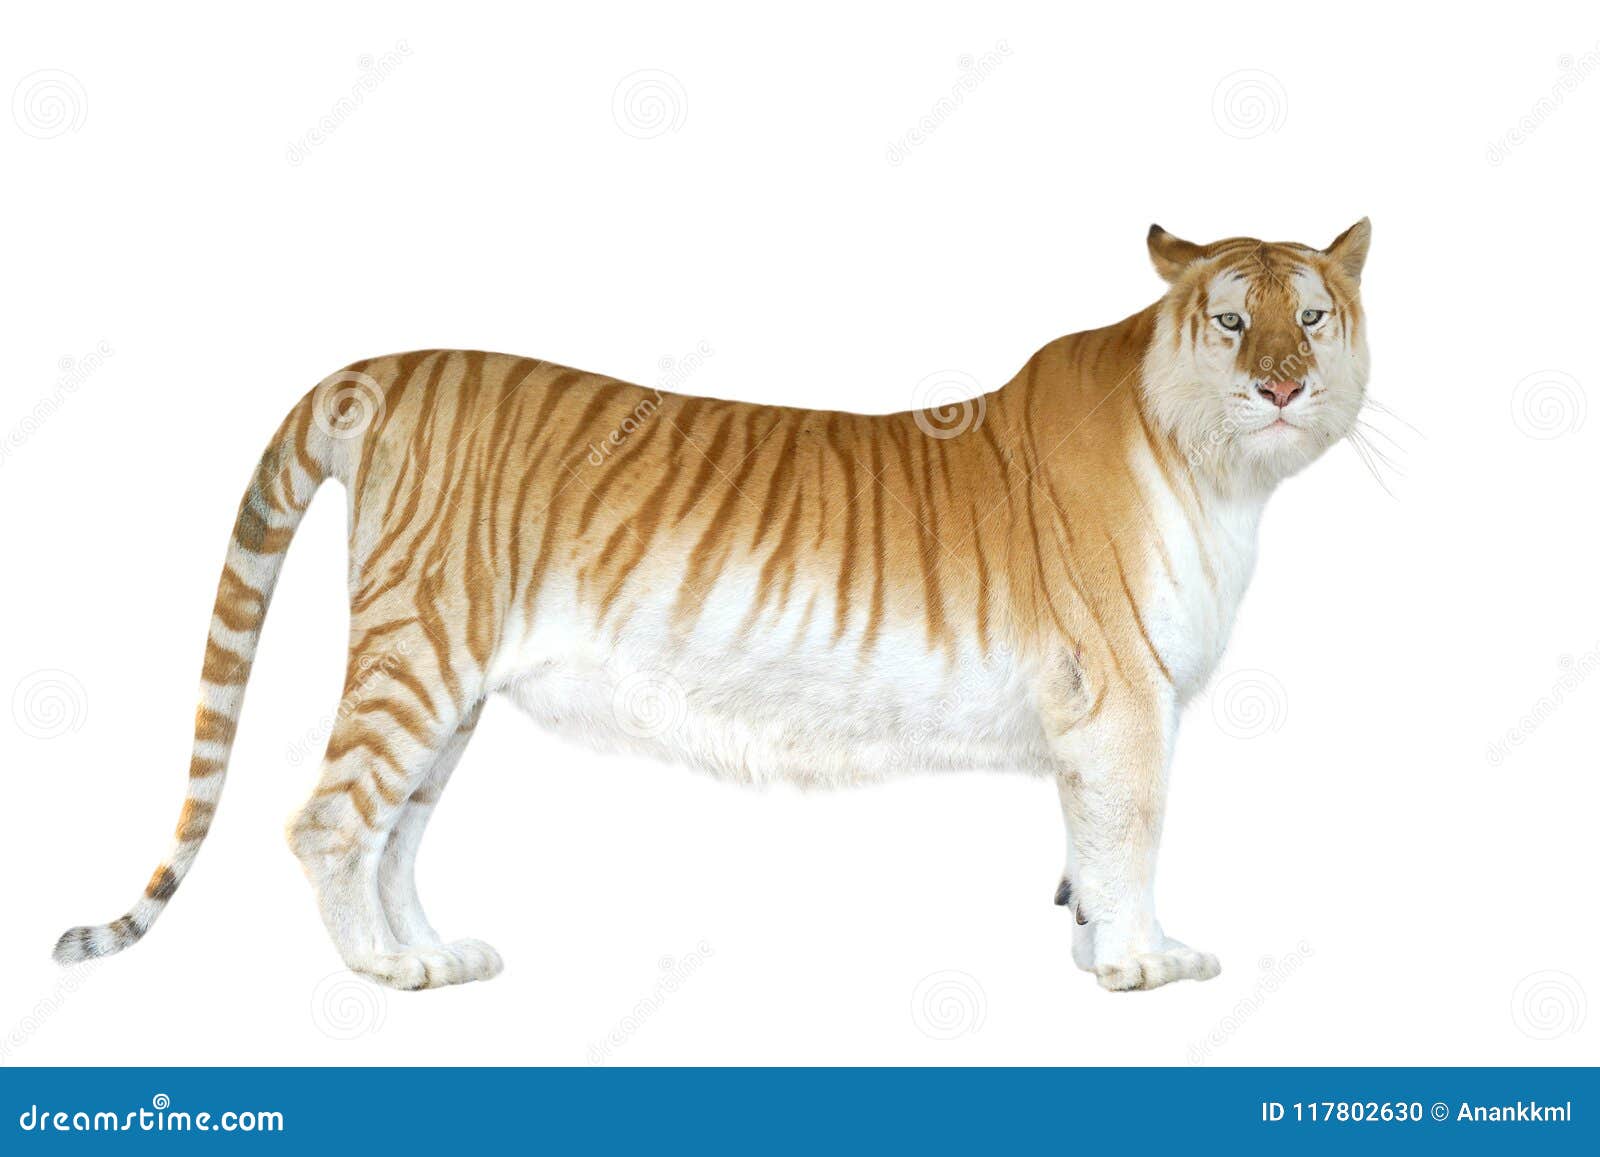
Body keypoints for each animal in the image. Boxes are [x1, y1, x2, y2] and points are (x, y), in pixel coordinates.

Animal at [54, 220, 1371, 992]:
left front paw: (1096, 948)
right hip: (415, 658)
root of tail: (381, 367)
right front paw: (1149, 964)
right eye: (1229, 318)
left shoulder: (1093, 719)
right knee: (329, 820)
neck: (1220, 468)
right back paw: (388, 972)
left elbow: (1088, 843)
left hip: (447, 689)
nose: (1283, 385)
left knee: (395, 833)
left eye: (1311, 315)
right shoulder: (1125, 698)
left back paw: (435, 950)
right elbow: (1132, 835)